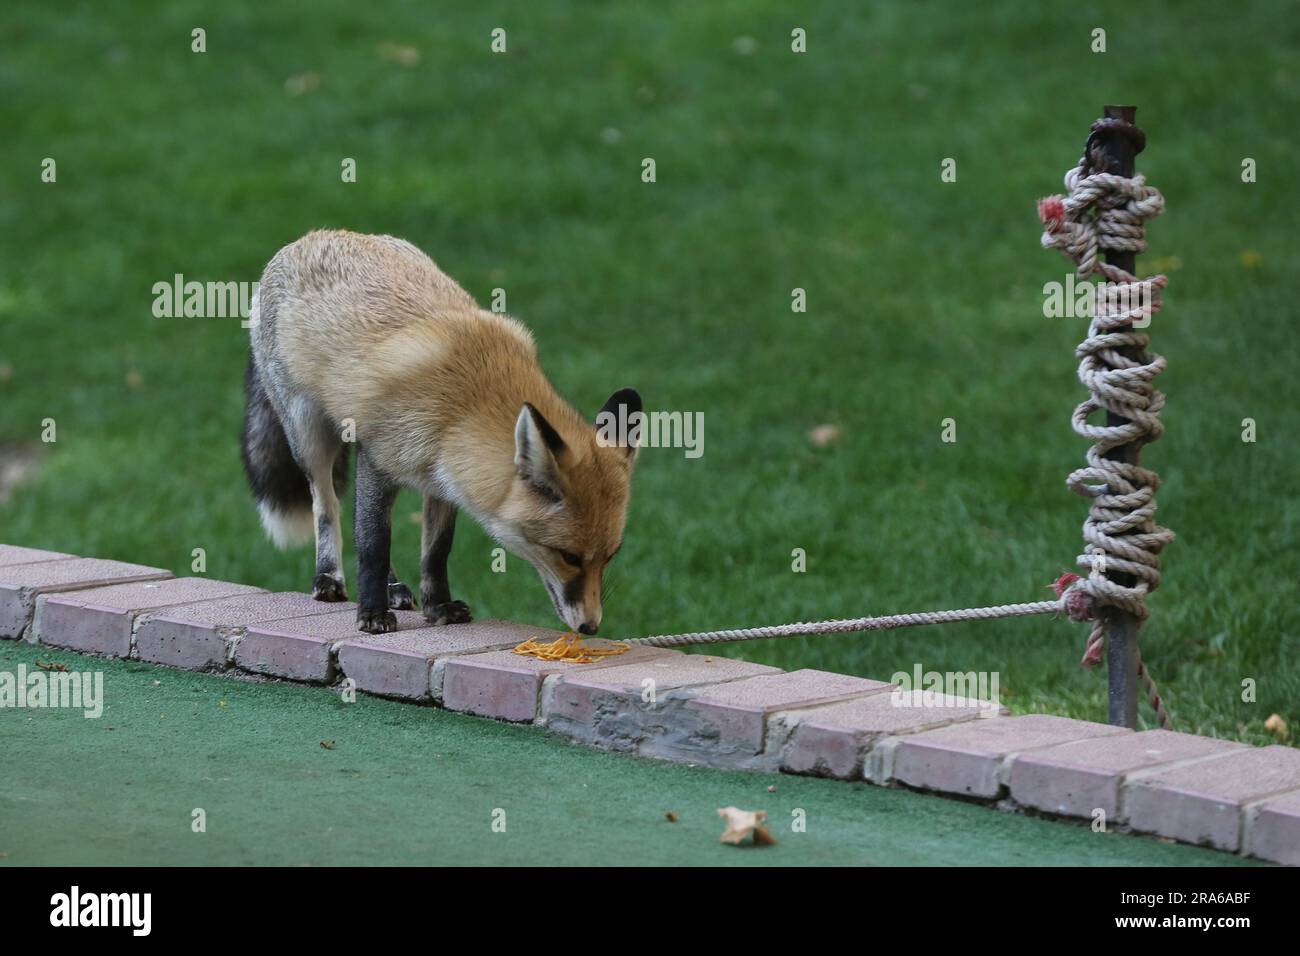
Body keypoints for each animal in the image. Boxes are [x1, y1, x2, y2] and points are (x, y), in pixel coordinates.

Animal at [240, 229, 641, 635]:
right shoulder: (378, 461)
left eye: (610, 556)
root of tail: (309, 237)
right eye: (569, 556)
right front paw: (372, 613)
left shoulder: (443, 477)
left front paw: (438, 608)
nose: (591, 627)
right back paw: (329, 578)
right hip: (308, 435)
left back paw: (394, 588)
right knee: (326, 505)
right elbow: (373, 546)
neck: (463, 406)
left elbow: (435, 551)